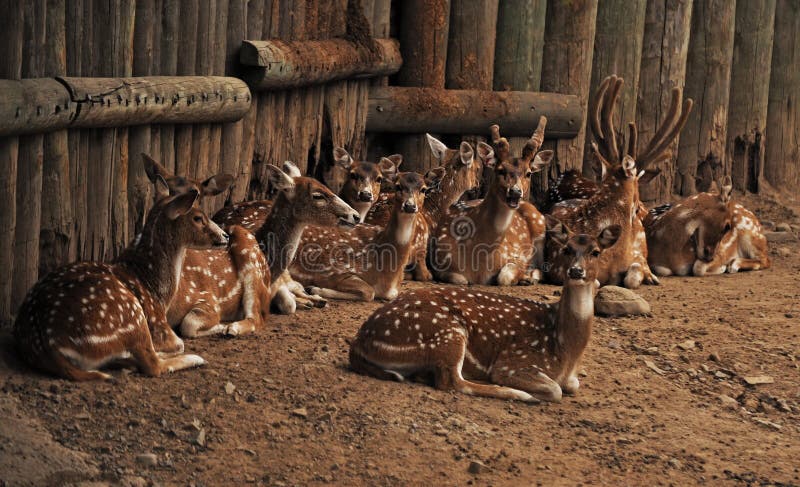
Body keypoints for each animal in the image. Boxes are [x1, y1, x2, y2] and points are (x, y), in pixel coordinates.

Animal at [13, 187, 227, 381]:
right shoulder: (159, 325)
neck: (157, 291)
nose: (225, 235)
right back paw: (195, 358)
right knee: (152, 365)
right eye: (198, 217)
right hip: (131, 314)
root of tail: (47, 346)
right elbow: (178, 342)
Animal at [289, 172, 428, 301]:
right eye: (398, 186)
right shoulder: (333, 271)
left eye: (423, 189)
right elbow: (369, 292)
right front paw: (315, 289)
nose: (409, 206)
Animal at [348, 221, 622, 402]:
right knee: (452, 382)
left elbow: (573, 386)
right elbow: (555, 390)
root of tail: (360, 342)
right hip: (447, 333)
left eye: (596, 252)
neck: (566, 350)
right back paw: (520, 394)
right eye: (567, 249)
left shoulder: (570, 377)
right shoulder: (514, 362)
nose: (576, 271)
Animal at [428, 117, 553, 286]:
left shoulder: (517, 256)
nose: (515, 192)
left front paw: (525, 276)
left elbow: (504, 276)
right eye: (500, 170)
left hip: (540, 224)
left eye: (528, 173)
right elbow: (461, 279)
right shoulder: (439, 261)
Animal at [545, 75, 692, 288]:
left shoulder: (636, 256)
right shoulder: (558, 268)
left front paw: (647, 277)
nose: (641, 210)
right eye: (637, 190)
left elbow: (633, 275)